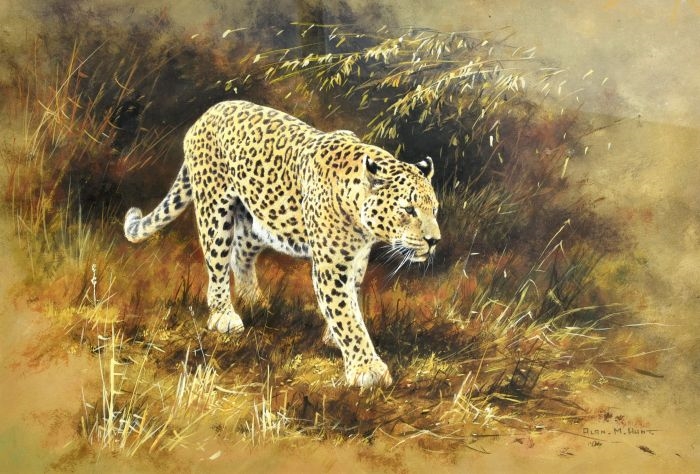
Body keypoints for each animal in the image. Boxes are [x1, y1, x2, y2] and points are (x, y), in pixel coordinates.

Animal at [124, 100, 441, 388]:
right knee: (217, 263)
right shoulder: (331, 267)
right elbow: (346, 315)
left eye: (435, 209)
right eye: (409, 209)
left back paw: (254, 299)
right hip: (215, 210)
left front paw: (334, 337)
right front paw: (367, 368)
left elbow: (350, 300)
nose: (434, 240)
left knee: (240, 254)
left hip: (258, 219)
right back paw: (224, 315)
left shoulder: (356, 259)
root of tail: (208, 113)